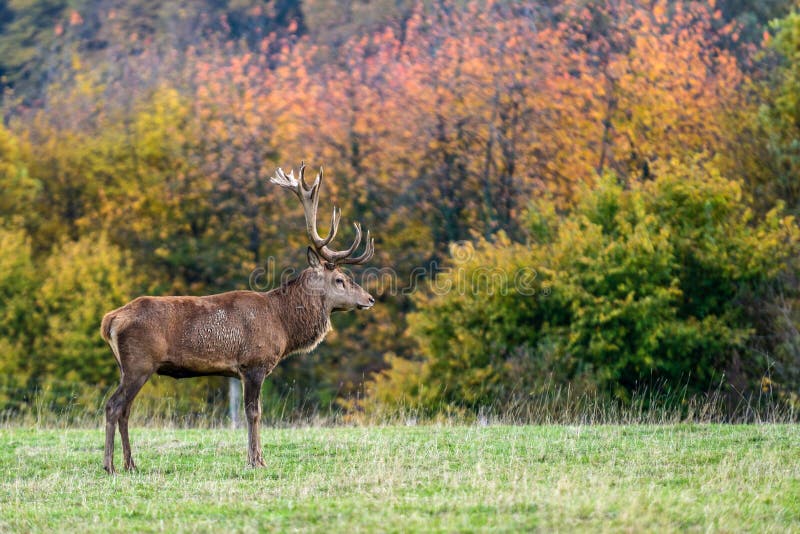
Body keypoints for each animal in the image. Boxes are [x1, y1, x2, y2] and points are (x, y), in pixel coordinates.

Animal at [99, 162, 375, 474]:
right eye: (340, 279)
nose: (369, 299)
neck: (283, 324)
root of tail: (110, 320)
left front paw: (255, 458)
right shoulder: (253, 363)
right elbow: (254, 412)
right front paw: (257, 460)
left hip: (127, 367)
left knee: (125, 409)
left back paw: (130, 464)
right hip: (139, 363)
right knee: (113, 405)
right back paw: (109, 465)